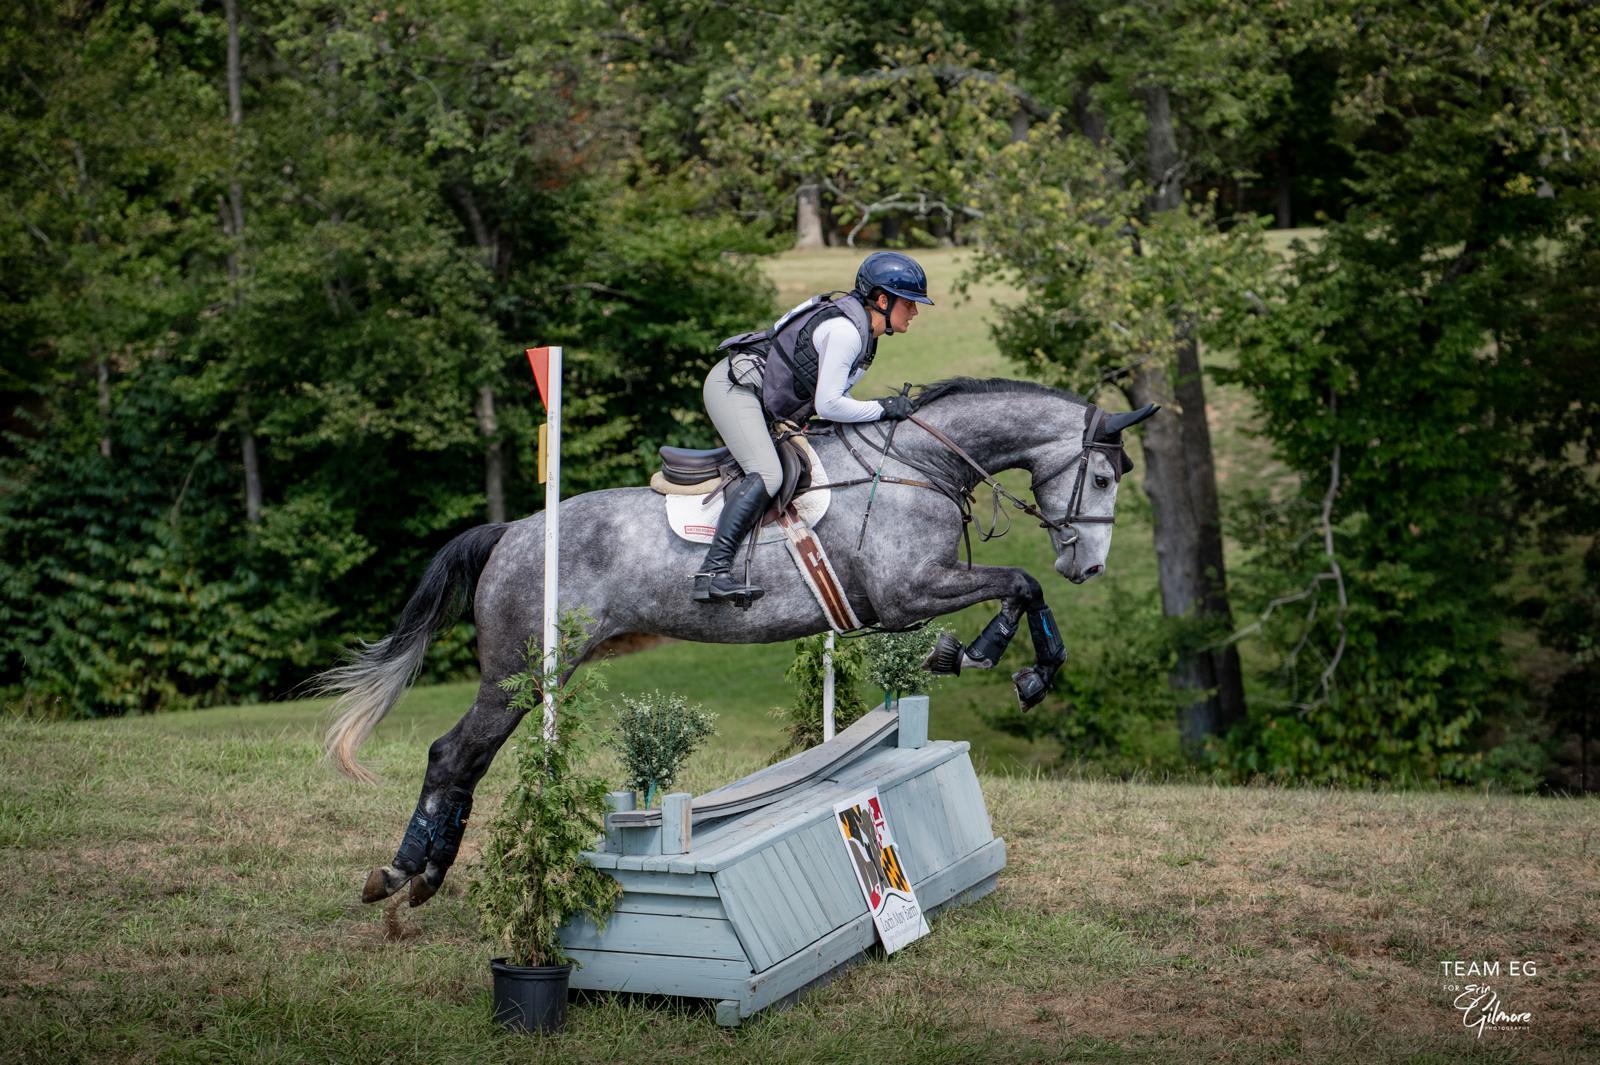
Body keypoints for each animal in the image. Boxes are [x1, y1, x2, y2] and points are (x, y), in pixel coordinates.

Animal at [317, 377, 1157, 907]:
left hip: (538, 676)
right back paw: (402, 873)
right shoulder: (908, 591)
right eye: (1105, 479)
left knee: (471, 759)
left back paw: (426, 874)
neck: (917, 463)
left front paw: (1007, 663)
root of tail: (512, 531)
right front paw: (993, 657)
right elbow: (1021, 581)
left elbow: (1022, 586)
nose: (1089, 566)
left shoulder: (918, 591)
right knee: (451, 754)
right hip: (522, 673)